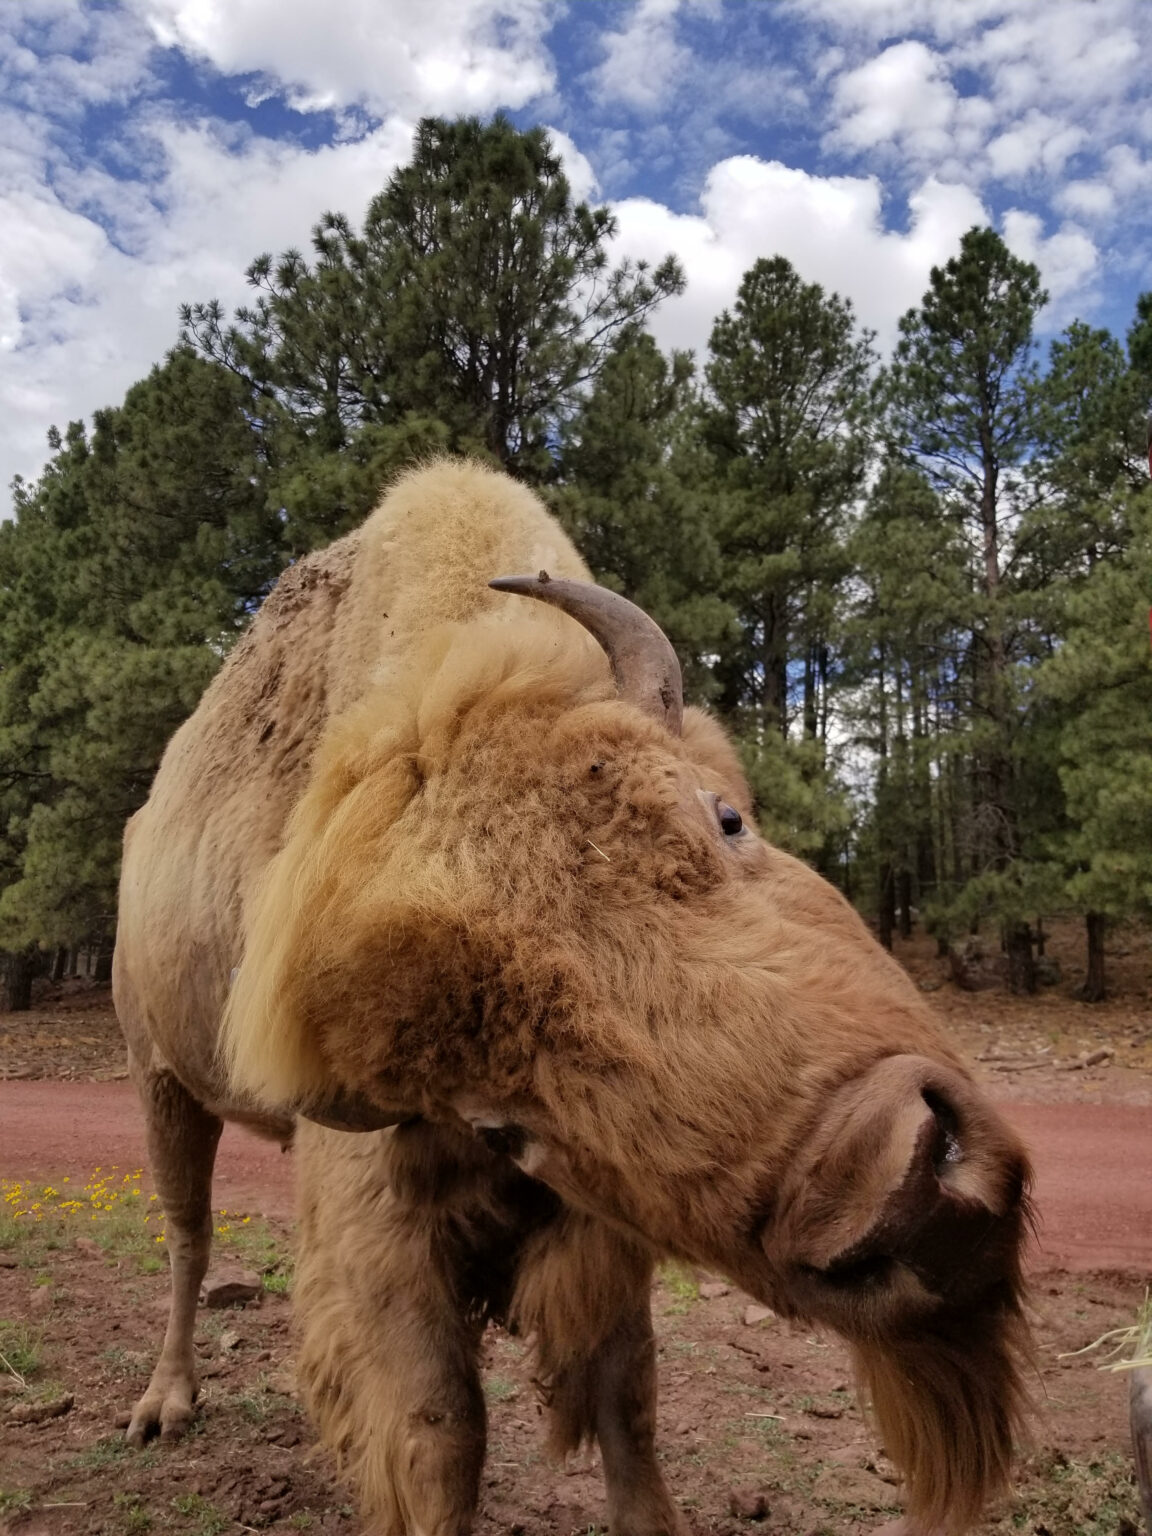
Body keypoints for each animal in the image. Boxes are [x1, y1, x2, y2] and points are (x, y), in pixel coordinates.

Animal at [114, 461, 1032, 1536]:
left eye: (725, 819)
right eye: (501, 1122)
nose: (901, 1197)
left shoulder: (606, 1244)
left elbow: (625, 1399)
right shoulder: (384, 1242)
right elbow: (439, 1431)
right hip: (160, 1081)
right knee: (187, 1232)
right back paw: (163, 1405)